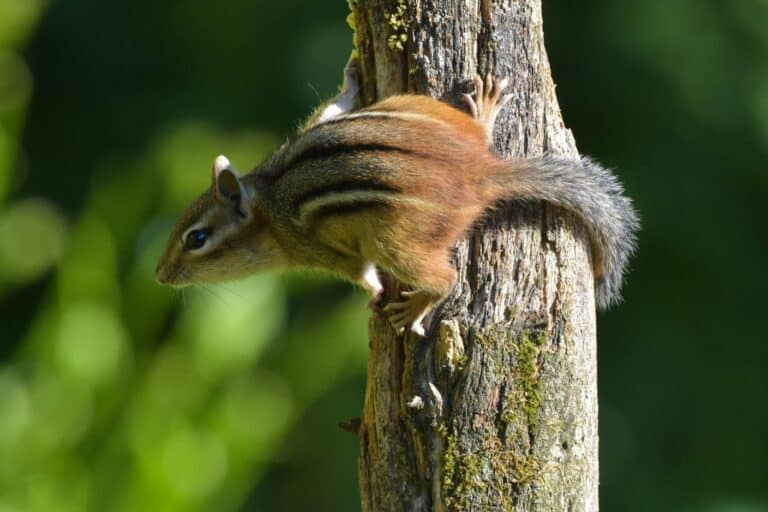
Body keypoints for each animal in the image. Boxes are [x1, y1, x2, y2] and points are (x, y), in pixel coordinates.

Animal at [155, 61, 639, 335]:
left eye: (196, 239)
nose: (160, 276)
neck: (267, 204)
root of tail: (479, 172)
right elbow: (330, 110)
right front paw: (349, 82)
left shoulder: (322, 251)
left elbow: (360, 272)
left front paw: (372, 294)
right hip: (415, 104)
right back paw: (482, 112)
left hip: (398, 238)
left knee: (444, 278)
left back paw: (417, 305)